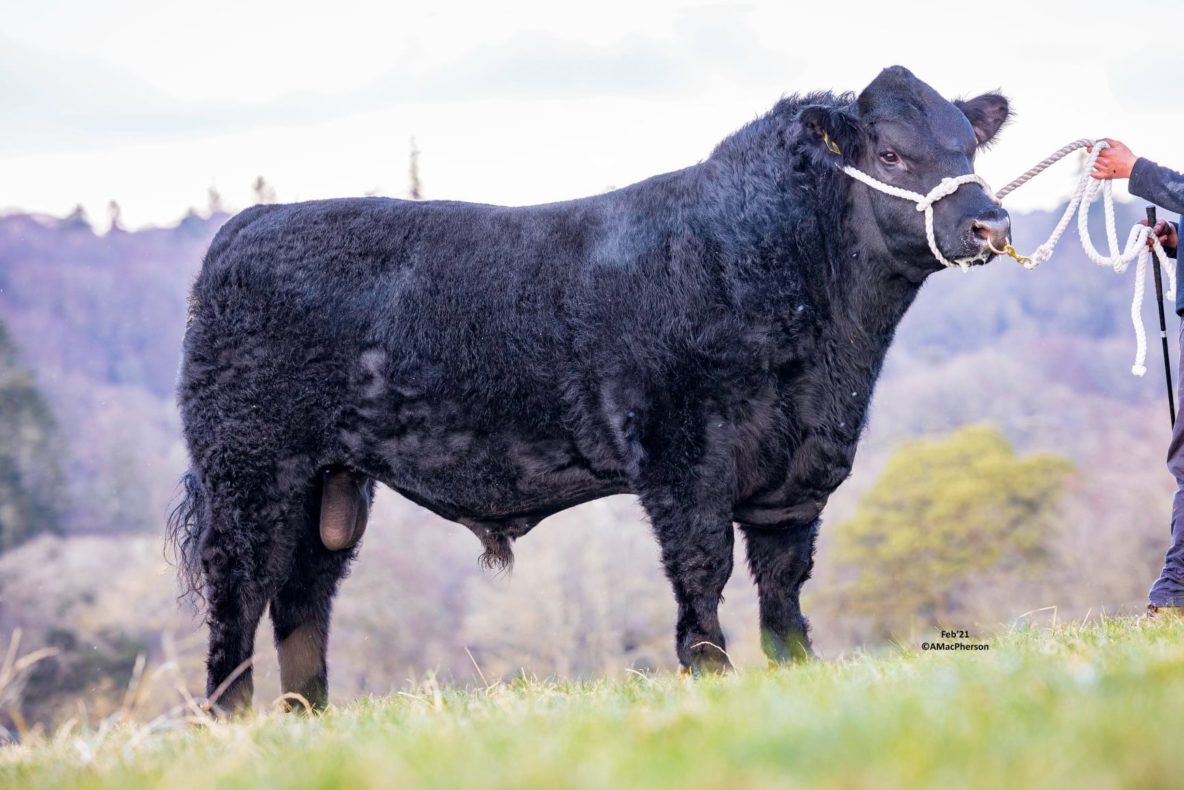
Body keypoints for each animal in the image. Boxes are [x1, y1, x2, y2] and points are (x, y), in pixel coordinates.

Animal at [168, 65, 1011, 714]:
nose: (991, 224)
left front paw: (794, 668)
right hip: (249, 467)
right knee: (239, 588)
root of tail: (251, 221)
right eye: (893, 153)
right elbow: (702, 571)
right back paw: (231, 721)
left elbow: (783, 588)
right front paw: (712, 674)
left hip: (330, 482)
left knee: (302, 595)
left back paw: (305, 718)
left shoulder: (796, 476)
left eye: (968, 146)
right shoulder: (683, 460)